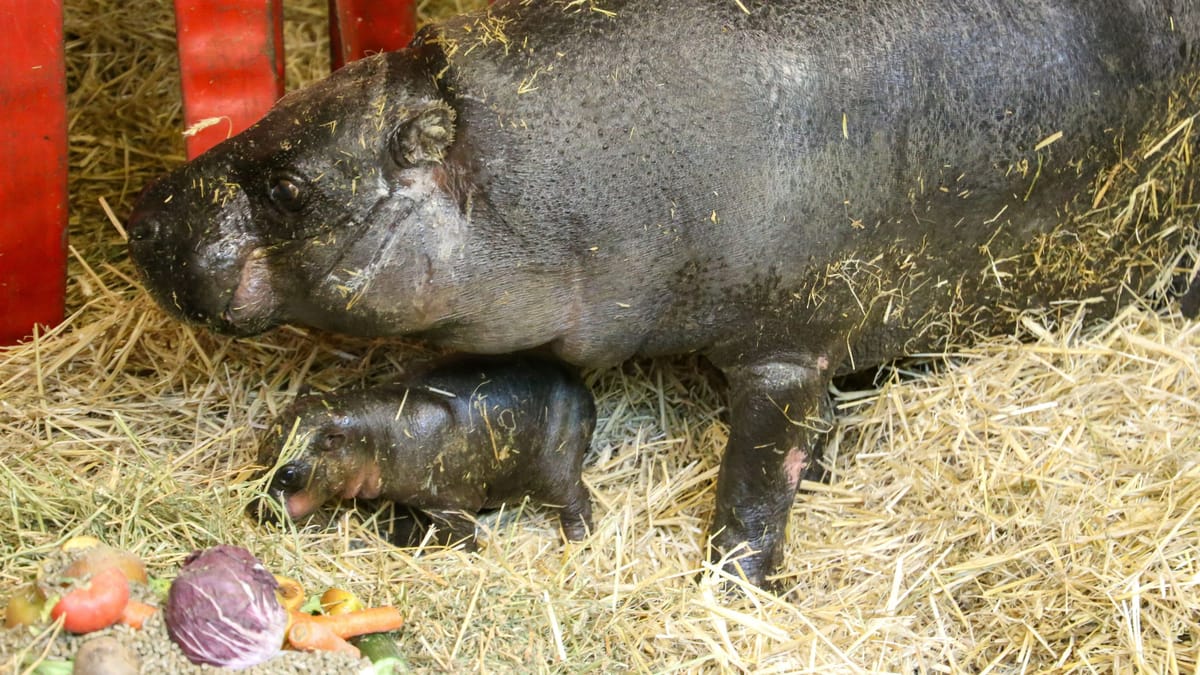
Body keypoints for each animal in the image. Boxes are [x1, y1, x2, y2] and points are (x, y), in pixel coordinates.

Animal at [256, 357, 595, 547]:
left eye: (288, 474)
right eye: (261, 449)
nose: (252, 510)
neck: (372, 430)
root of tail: (584, 389)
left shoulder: (452, 505)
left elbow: (460, 537)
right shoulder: (404, 497)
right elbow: (405, 523)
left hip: (555, 469)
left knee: (576, 499)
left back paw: (576, 544)